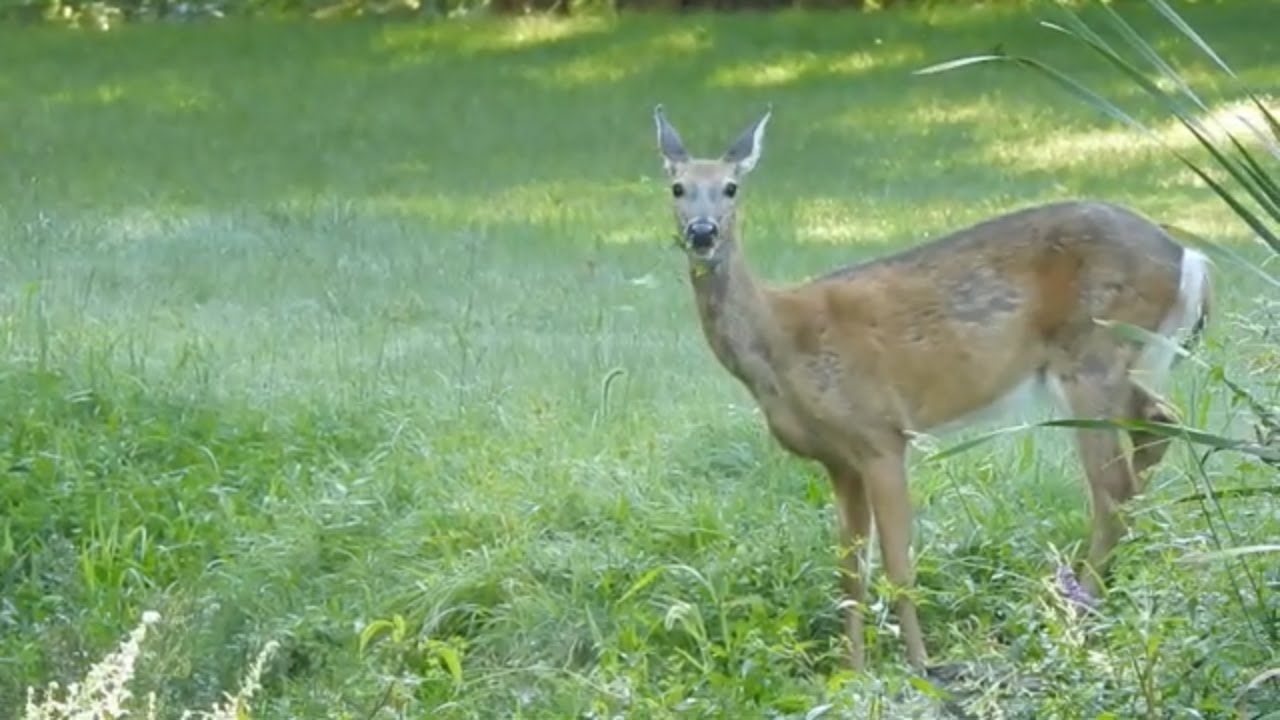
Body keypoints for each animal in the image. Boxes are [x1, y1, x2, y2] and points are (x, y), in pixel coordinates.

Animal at [650, 103, 1213, 674]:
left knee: (1113, 487)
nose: (702, 232)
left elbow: (897, 562)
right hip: (1129, 363)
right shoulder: (839, 459)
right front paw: (852, 671)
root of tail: (1189, 258)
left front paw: (920, 664)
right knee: (1159, 427)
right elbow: (849, 572)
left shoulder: (881, 432)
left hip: (1094, 356)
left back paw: (1081, 619)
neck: (780, 344)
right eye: (676, 187)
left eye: (731, 187)